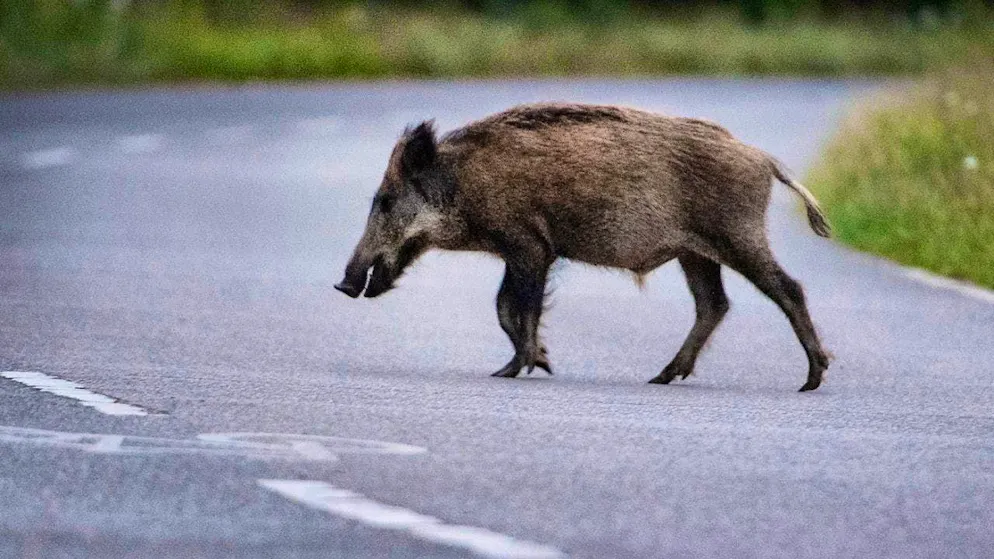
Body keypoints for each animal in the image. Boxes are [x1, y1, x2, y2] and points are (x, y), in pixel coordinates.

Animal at [335, 103, 832, 392]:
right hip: (697, 253)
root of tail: (764, 160)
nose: (343, 284)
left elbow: (518, 307)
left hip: (737, 235)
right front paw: (539, 363)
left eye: (385, 200)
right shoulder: (522, 250)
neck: (460, 185)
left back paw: (811, 379)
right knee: (714, 304)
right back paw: (661, 377)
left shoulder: (530, 246)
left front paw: (515, 370)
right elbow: (503, 308)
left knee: (788, 288)